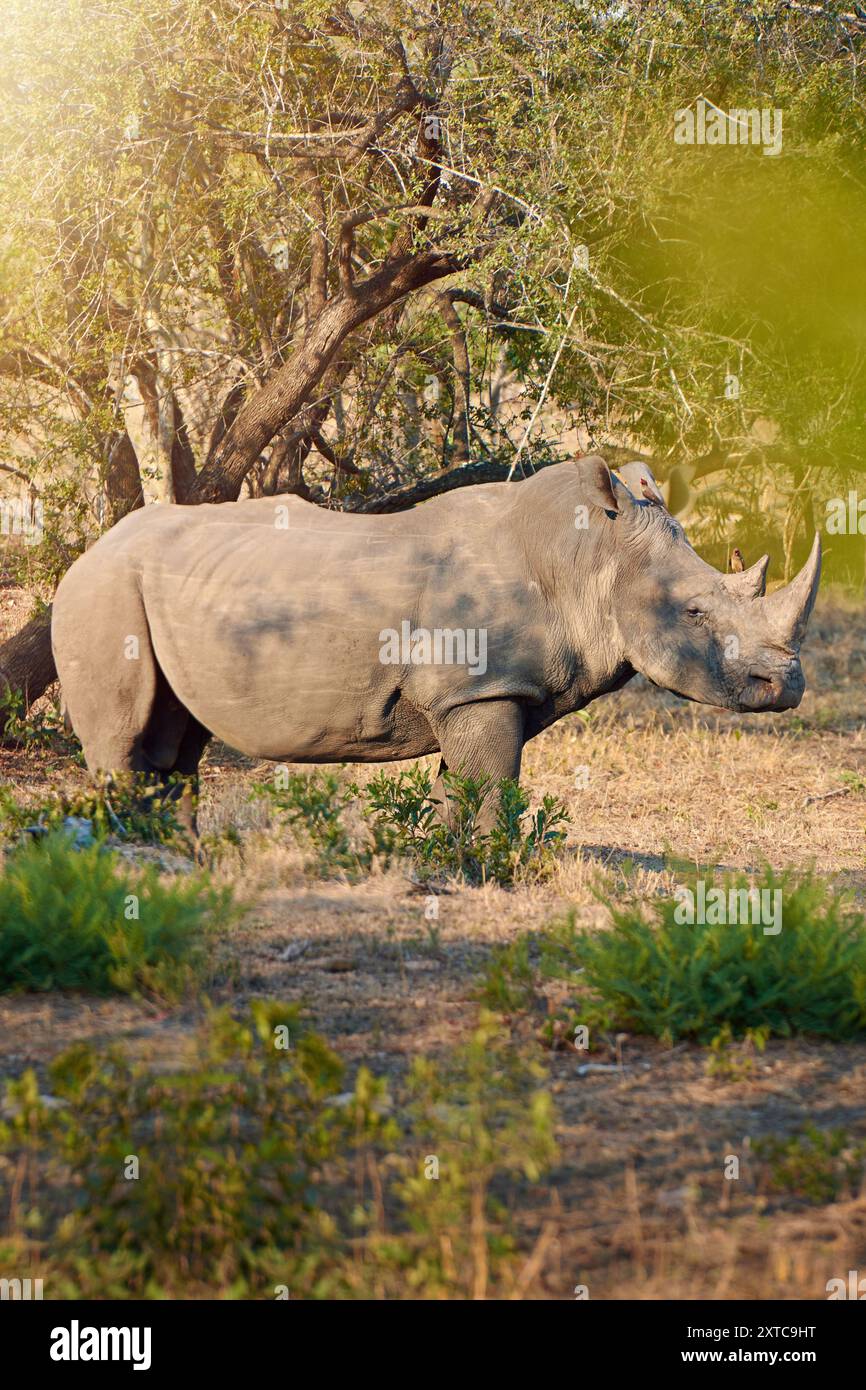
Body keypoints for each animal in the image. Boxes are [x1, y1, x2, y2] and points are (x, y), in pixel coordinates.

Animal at [51, 456, 821, 827]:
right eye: (694, 612)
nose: (787, 686)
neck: (587, 560)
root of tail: (86, 552)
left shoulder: (478, 693)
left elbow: (462, 787)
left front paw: (451, 866)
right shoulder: (479, 689)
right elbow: (494, 788)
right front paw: (494, 871)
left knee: (175, 743)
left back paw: (179, 861)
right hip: (100, 591)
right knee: (126, 738)